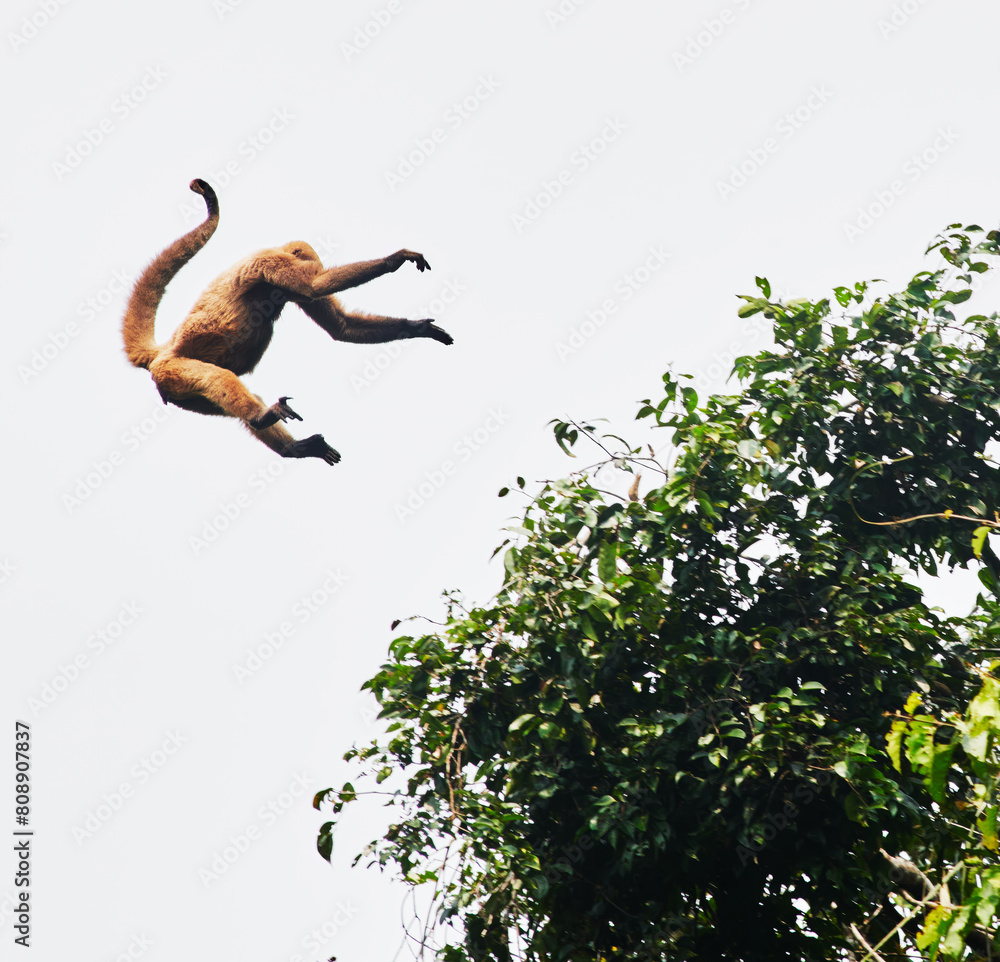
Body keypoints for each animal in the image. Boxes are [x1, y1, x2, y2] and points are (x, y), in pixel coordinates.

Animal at [122, 179, 452, 465]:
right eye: (310, 261)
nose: (312, 264)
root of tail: (162, 353)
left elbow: (341, 326)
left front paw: (417, 328)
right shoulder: (271, 263)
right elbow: (315, 286)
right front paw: (394, 259)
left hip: (182, 395)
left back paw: (294, 448)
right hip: (173, 371)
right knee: (217, 378)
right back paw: (262, 417)